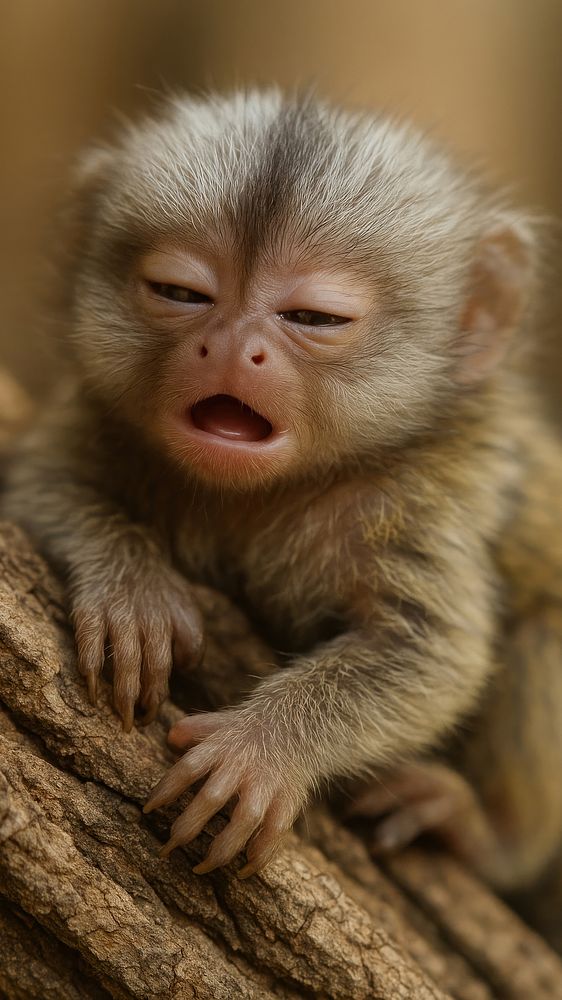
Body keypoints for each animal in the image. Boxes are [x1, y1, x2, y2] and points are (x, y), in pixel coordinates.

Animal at [4, 90, 562, 926]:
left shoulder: (430, 495)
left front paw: (264, 749)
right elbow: (43, 482)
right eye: (182, 293)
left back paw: (485, 832)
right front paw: (131, 591)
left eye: (314, 318)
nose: (232, 346)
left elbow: (429, 653)